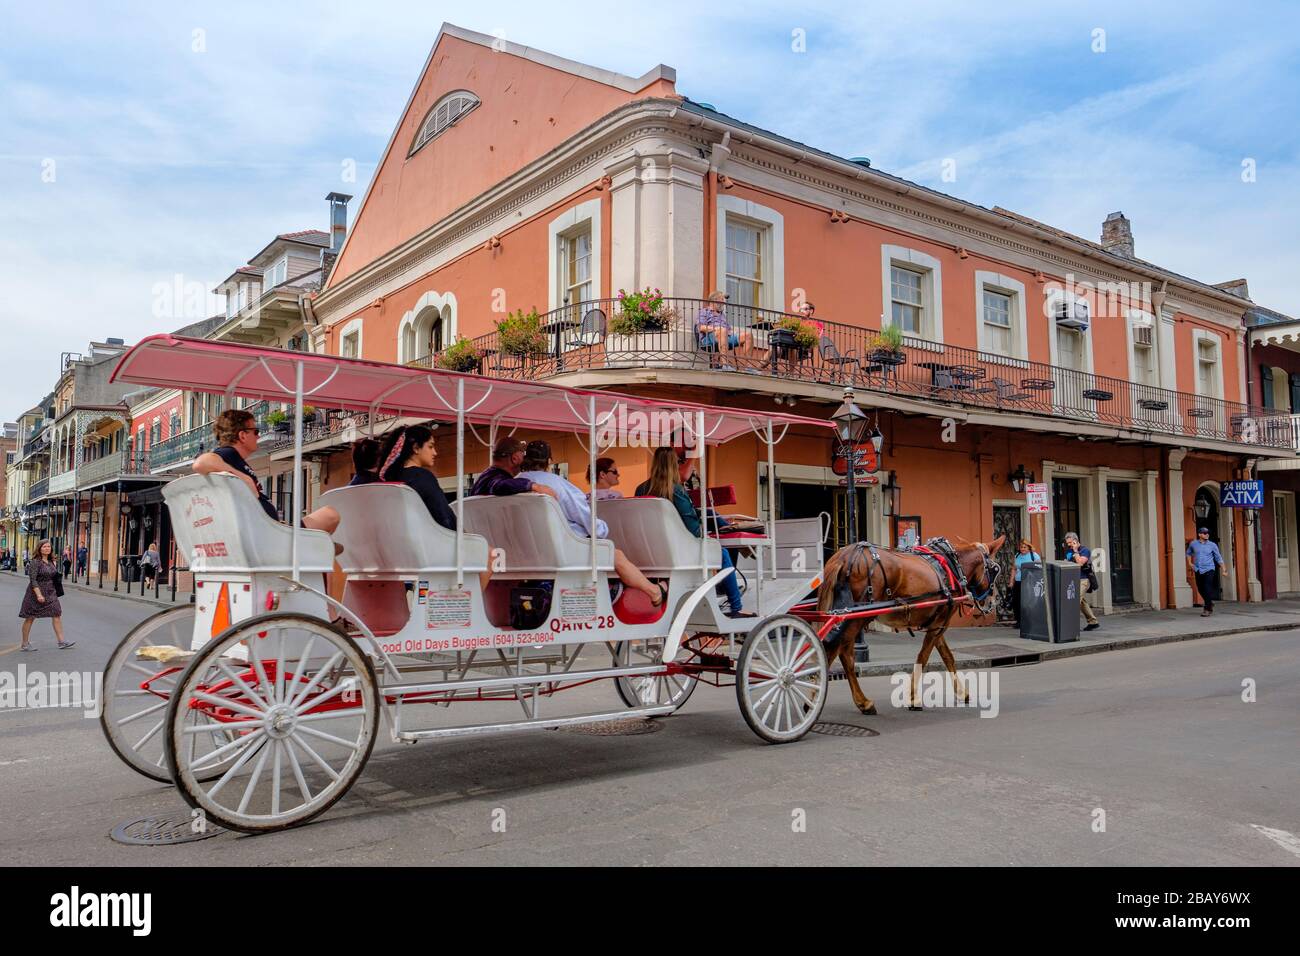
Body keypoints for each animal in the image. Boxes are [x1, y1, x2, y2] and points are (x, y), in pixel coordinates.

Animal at [811, 535, 1003, 712]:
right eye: (995, 570)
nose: (993, 603)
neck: (950, 565)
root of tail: (843, 557)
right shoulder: (940, 623)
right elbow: (923, 657)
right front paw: (913, 698)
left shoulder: (937, 622)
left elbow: (948, 657)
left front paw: (962, 693)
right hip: (854, 618)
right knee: (836, 652)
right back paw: (823, 699)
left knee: (842, 654)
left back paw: (859, 702)